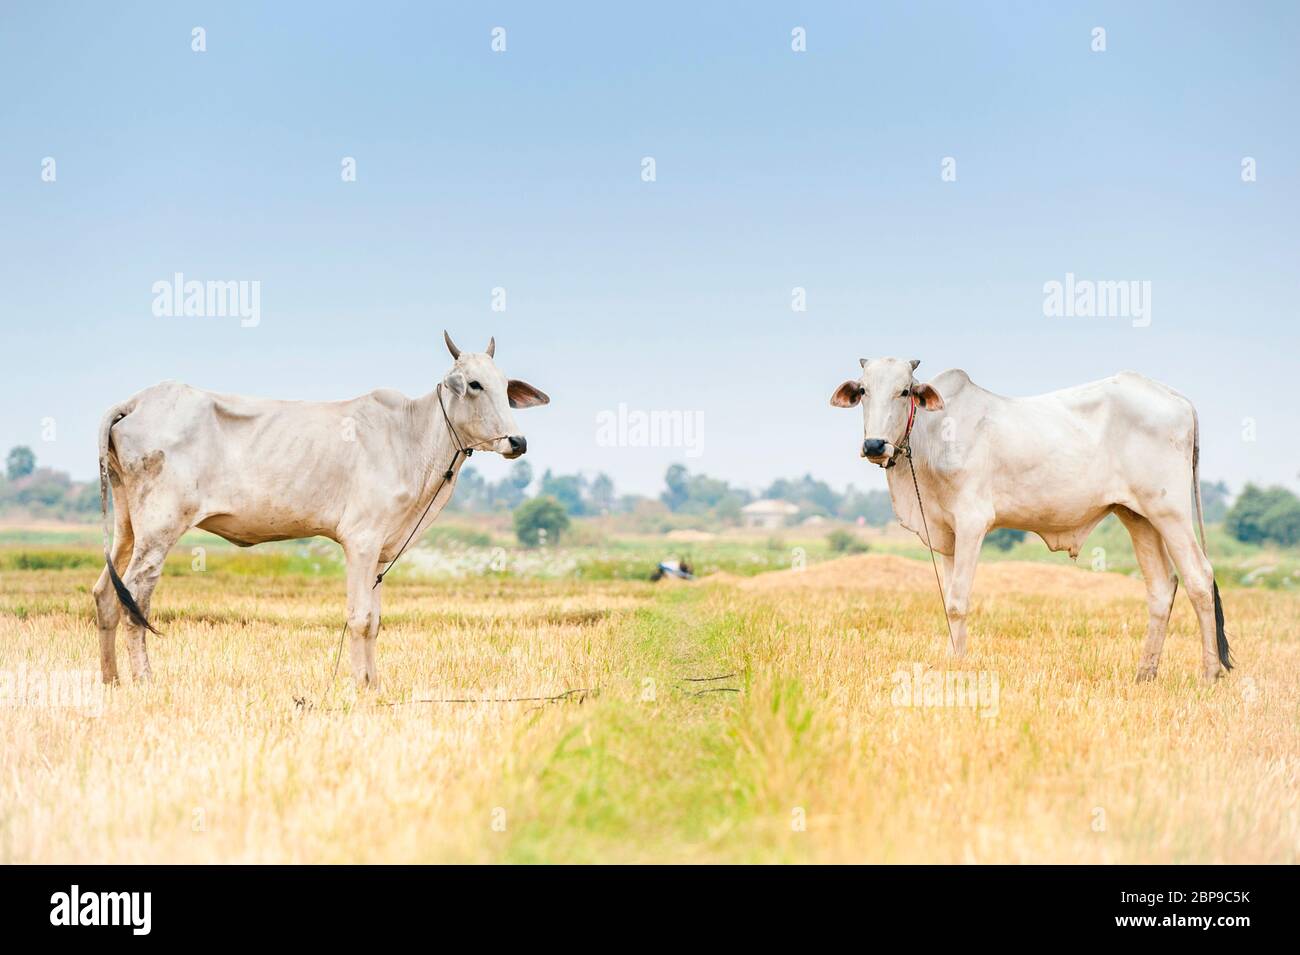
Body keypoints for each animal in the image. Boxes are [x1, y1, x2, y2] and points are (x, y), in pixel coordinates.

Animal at [93, 332, 549, 688]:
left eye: (504, 387)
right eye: (474, 384)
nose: (518, 441)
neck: (412, 434)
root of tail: (136, 401)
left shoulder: (381, 552)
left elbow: (375, 620)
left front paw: (375, 685)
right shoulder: (361, 541)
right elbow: (360, 617)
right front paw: (359, 686)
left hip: (128, 526)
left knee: (105, 593)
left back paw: (111, 681)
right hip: (160, 528)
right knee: (135, 595)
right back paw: (145, 682)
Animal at [830, 359, 1231, 683]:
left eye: (904, 391)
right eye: (864, 390)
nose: (874, 445)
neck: (933, 435)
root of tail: (1177, 398)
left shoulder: (972, 522)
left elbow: (958, 601)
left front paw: (959, 667)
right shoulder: (946, 534)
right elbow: (947, 601)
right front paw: (950, 660)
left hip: (1170, 512)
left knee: (1199, 577)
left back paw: (1209, 674)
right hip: (1137, 516)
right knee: (1162, 586)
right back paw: (1145, 674)